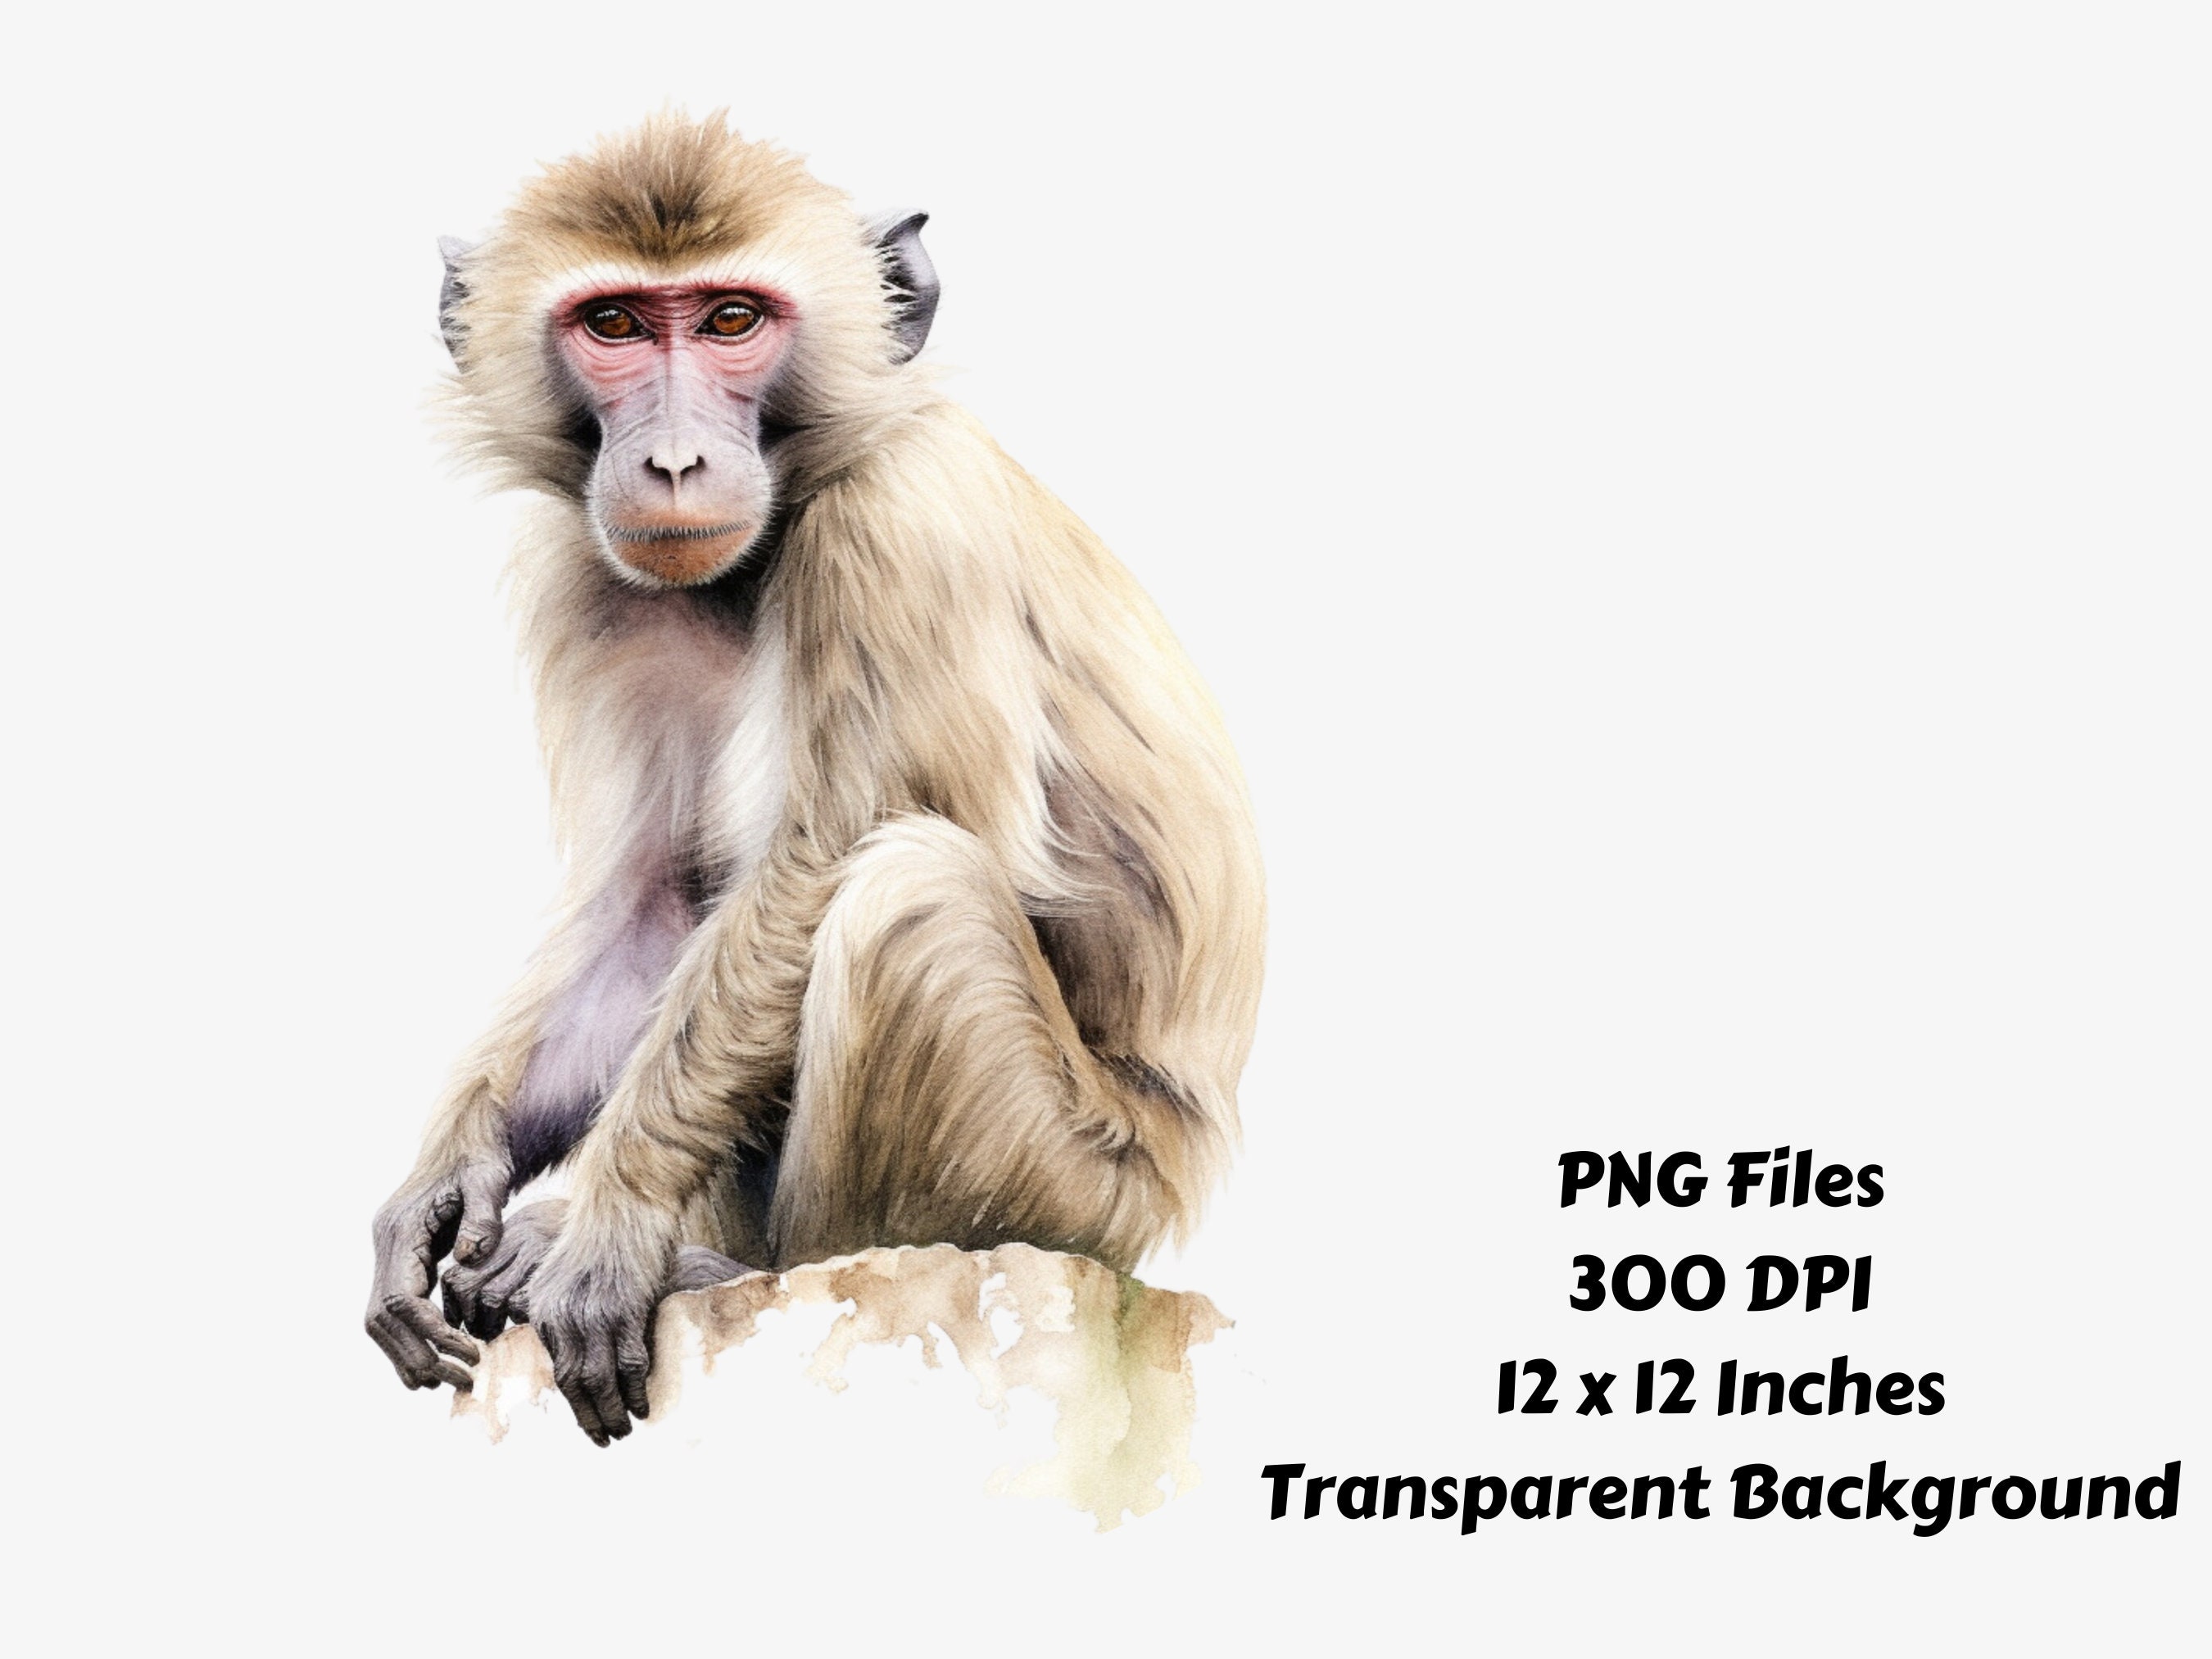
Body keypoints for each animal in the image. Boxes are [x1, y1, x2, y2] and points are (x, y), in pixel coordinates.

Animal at [365, 114, 1265, 1446]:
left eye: (733, 319)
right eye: (615, 324)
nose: (673, 461)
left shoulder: (902, 525)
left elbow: (826, 861)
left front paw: (611, 1230)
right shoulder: (594, 587)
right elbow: (653, 903)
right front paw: (447, 1184)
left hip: (1084, 1192)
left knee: (909, 894)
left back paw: (753, 1264)